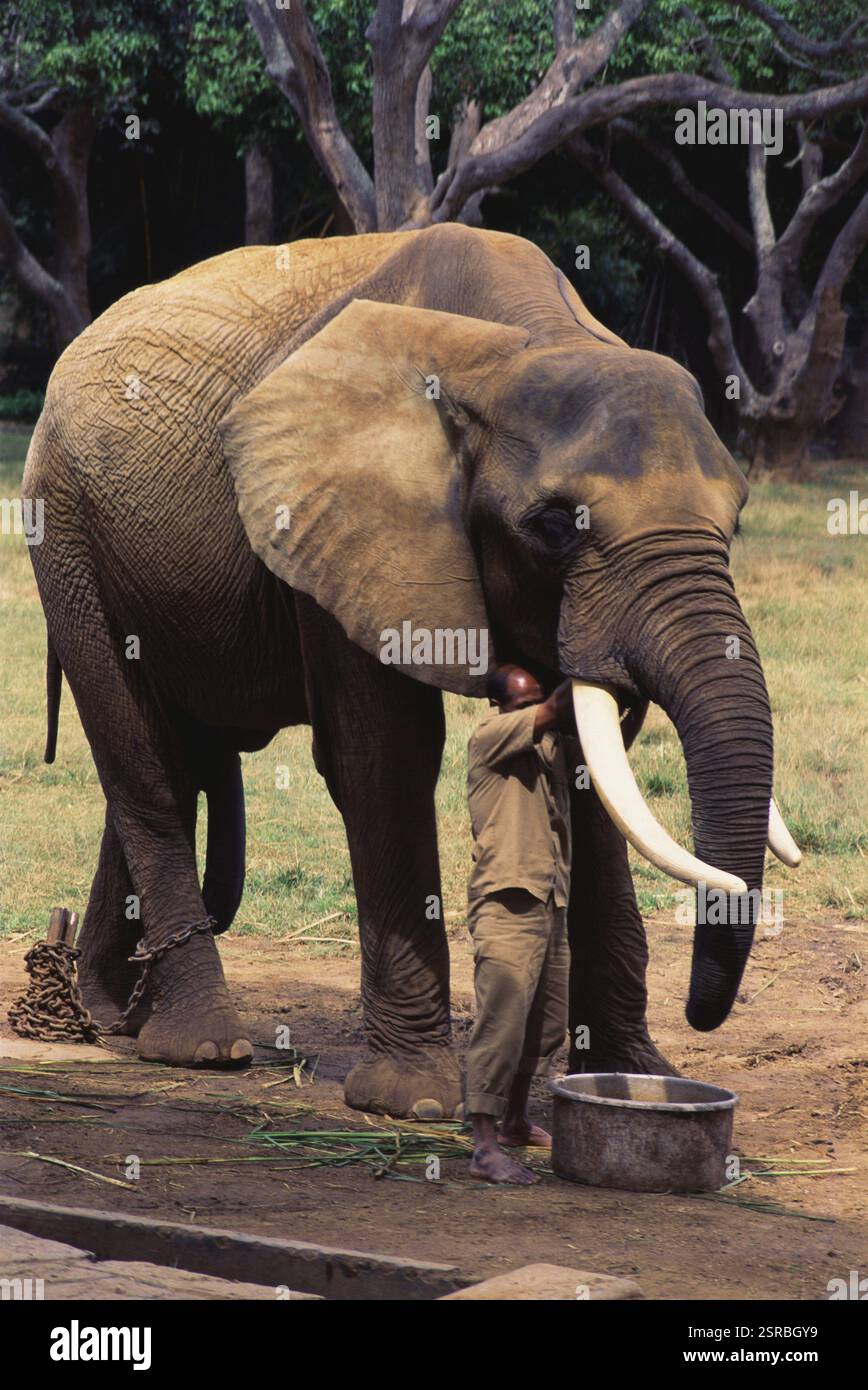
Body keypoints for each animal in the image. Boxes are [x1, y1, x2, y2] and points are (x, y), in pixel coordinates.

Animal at [22, 224, 801, 1119]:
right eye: (555, 524)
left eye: (735, 522)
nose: (702, 1013)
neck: (515, 348)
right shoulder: (334, 517)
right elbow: (383, 755)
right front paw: (414, 1104)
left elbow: (591, 770)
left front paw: (641, 1080)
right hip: (64, 529)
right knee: (140, 761)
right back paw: (202, 1048)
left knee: (173, 760)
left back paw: (109, 1014)